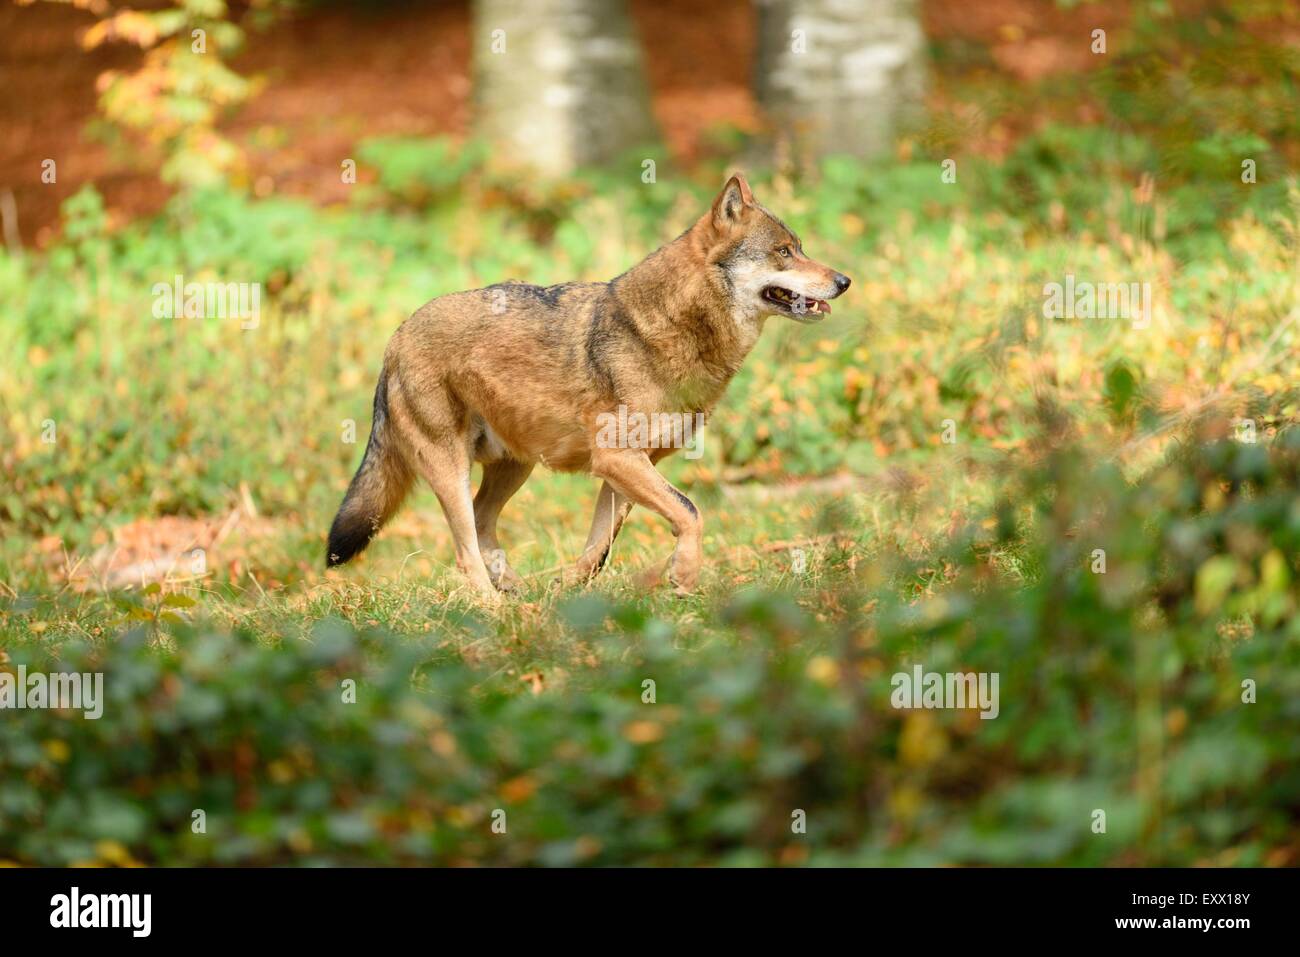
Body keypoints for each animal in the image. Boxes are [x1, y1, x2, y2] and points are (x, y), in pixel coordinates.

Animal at [326, 173, 851, 598]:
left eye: (800, 247)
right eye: (784, 251)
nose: (844, 280)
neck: (671, 329)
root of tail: (396, 336)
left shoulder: (627, 471)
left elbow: (600, 549)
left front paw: (569, 592)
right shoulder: (618, 459)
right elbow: (691, 510)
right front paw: (683, 577)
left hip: (515, 467)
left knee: (480, 522)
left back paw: (517, 591)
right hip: (454, 468)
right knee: (464, 552)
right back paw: (496, 610)